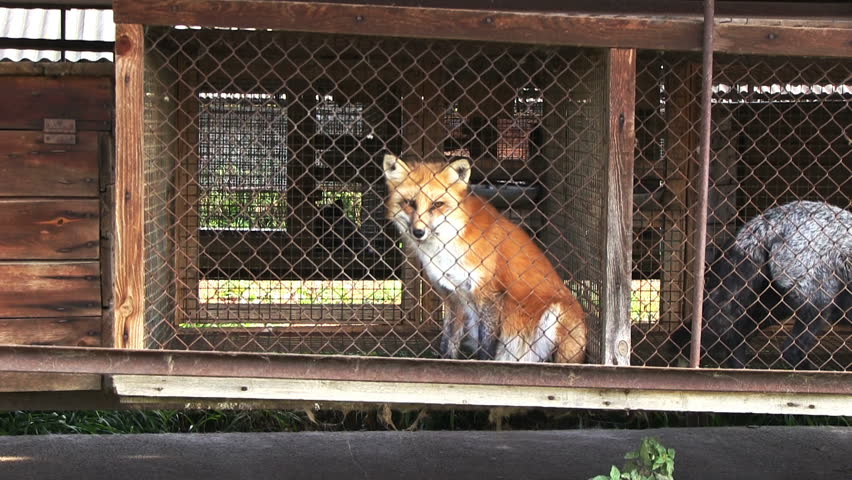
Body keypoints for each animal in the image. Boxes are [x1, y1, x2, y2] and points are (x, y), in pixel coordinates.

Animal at [383, 153, 587, 363]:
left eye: (437, 204)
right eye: (410, 203)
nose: (418, 232)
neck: (452, 242)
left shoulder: (490, 295)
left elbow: (486, 350)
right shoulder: (452, 296)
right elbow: (448, 343)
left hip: (556, 316)